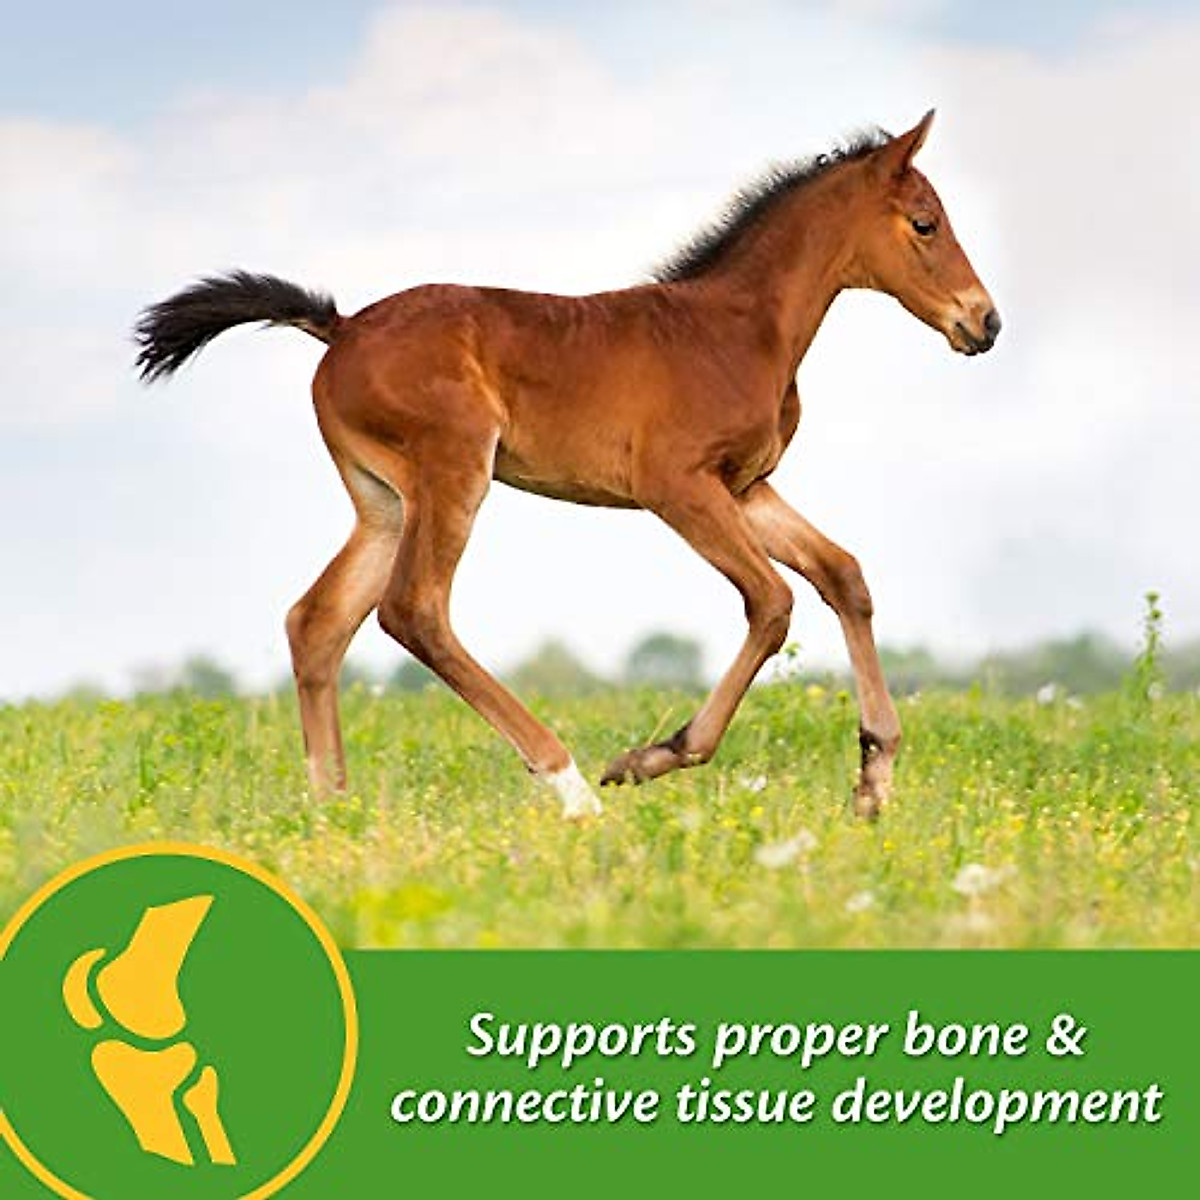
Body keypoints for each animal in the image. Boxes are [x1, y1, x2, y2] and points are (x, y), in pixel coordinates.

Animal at [134, 110, 999, 820]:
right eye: (925, 224)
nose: (984, 322)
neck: (736, 329)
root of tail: (340, 327)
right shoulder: (677, 486)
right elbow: (773, 601)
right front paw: (653, 757)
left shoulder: (747, 486)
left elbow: (843, 576)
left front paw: (874, 778)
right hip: (453, 473)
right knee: (414, 611)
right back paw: (572, 785)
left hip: (382, 498)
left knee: (318, 621)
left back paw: (331, 809)